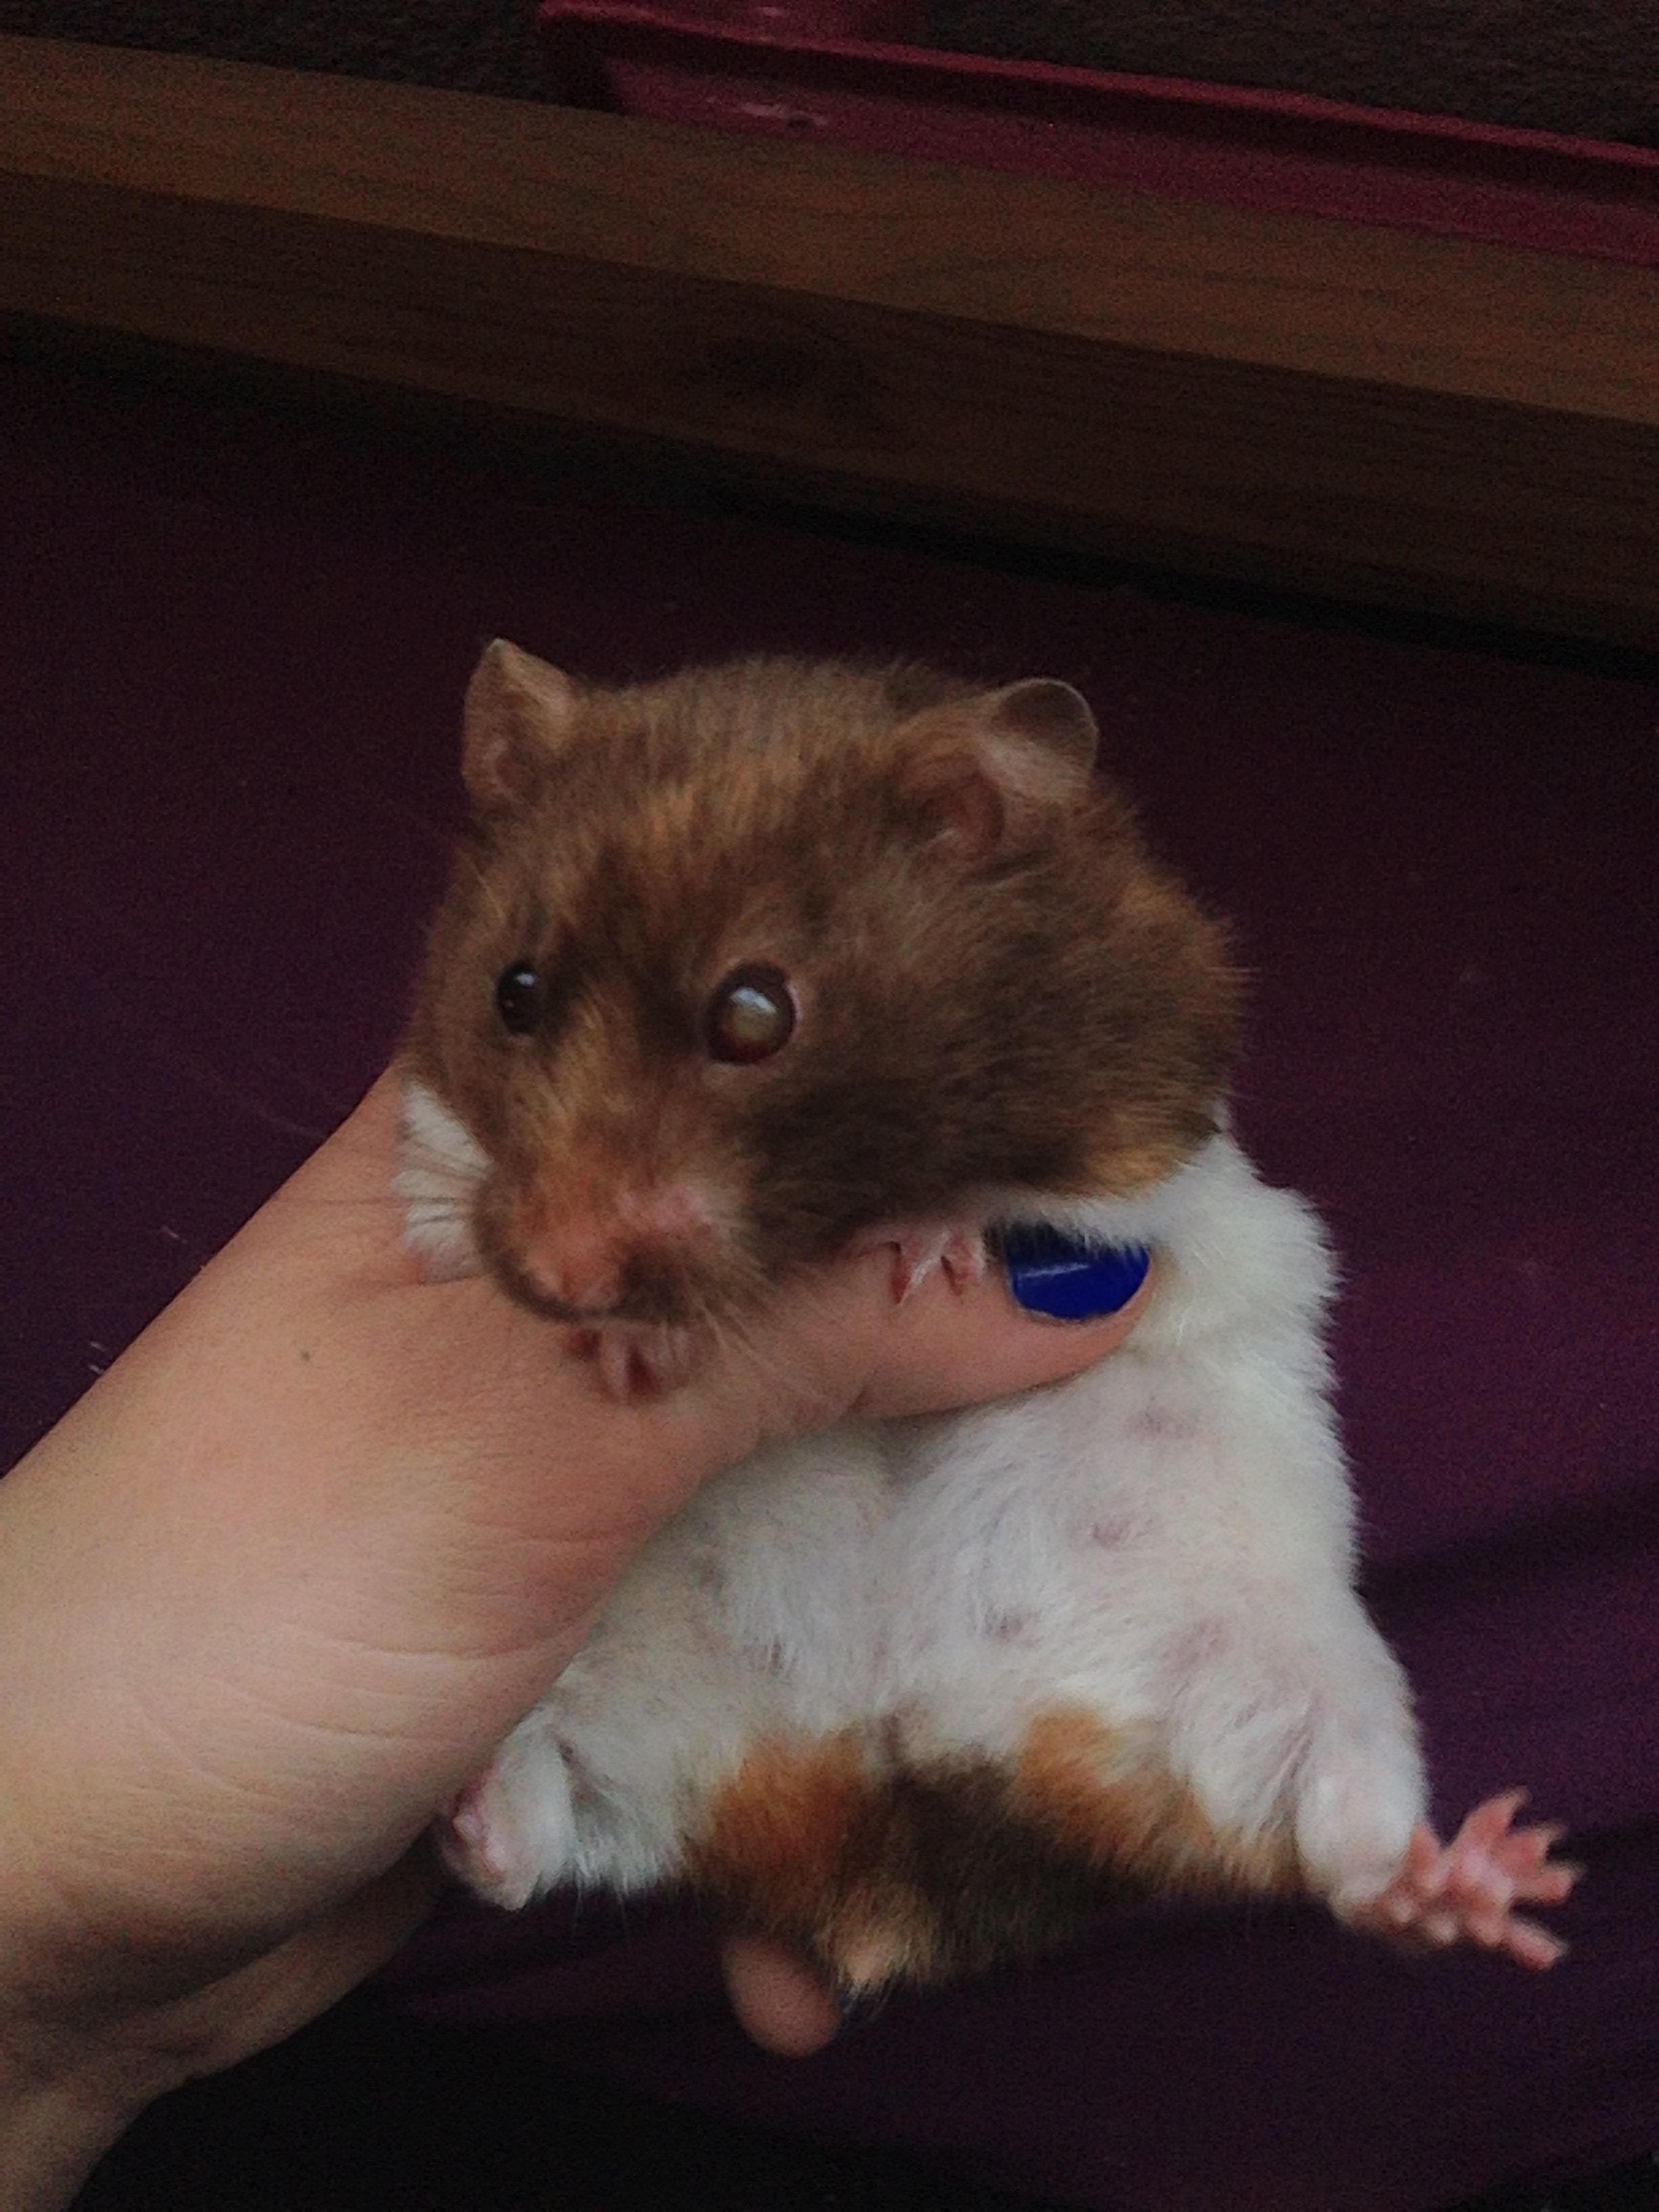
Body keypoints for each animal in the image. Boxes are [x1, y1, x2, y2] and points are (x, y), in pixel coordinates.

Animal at [396, 640, 1576, 1992]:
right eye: (513, 990)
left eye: (755, 1013)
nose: (561, 1279)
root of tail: (880, 1855)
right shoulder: (437, 1144)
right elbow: (447, 1186)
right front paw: (633, 1338)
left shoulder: (1147, 1105)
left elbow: (1029, 1200)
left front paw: (927, 1247)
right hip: (595, 1702)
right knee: (545, 1827)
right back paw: (470, 1807)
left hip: (1294, 1694)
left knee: (1340, 1846)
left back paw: (1482, 1881)